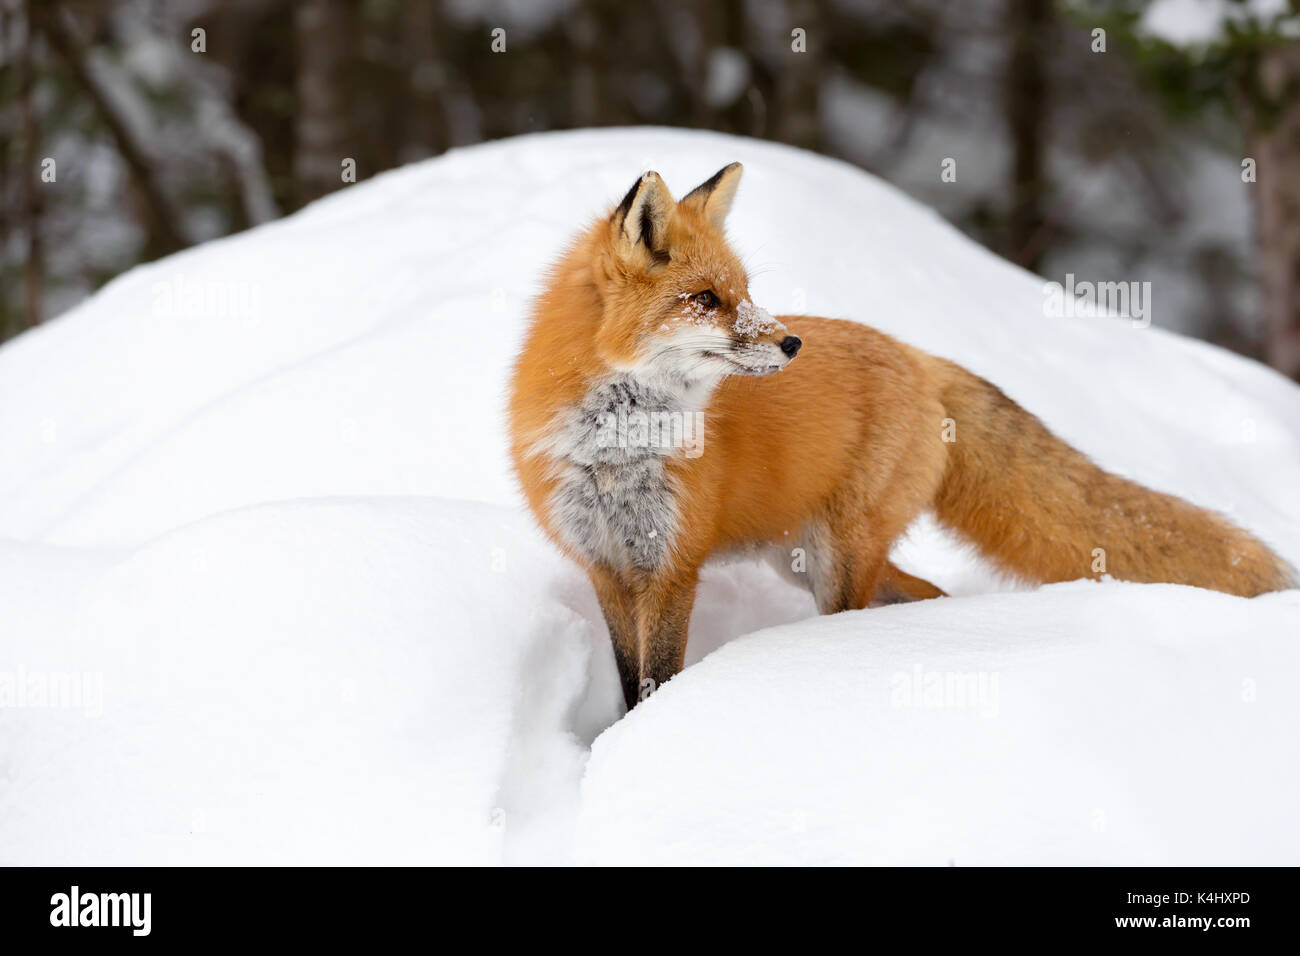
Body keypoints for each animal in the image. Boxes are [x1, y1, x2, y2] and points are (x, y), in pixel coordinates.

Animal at [507, 162, 1296, 711]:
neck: (617, 451)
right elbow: (626, 677)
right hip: (803, 561)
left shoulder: (672, 566)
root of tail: (920, 357)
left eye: (746, 293)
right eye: (705, 299)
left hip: (837, 561)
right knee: (929, 595)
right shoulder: (608, 568)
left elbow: (659, 678)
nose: (791, 343)